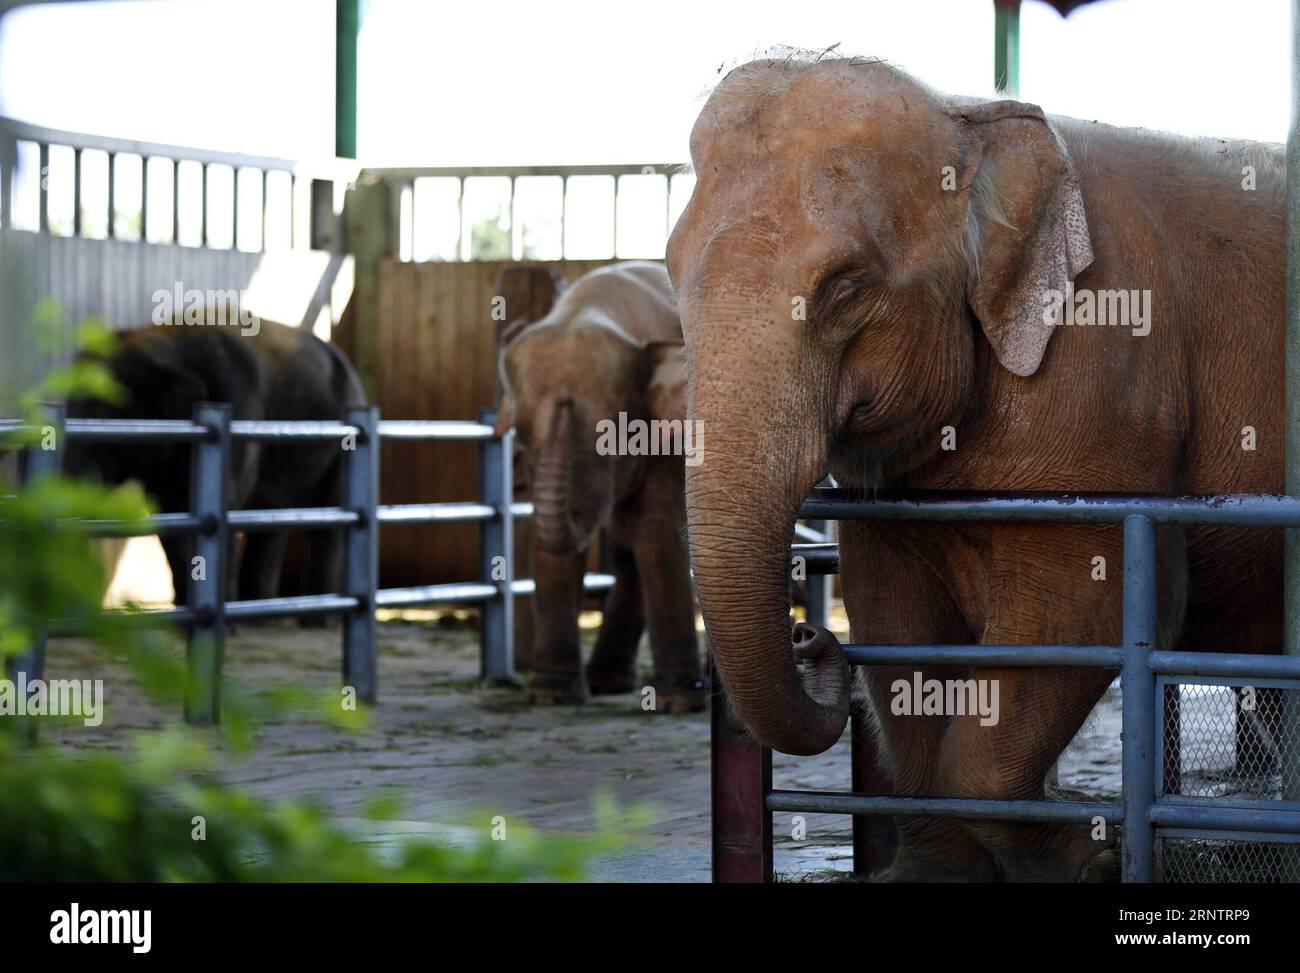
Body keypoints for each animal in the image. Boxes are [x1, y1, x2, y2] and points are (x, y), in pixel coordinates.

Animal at [66, 317, 367, 608]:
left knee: (326, 526)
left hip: (341, 451)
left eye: (105, 410)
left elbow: (226, 505)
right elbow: (171, 517)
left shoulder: (239, 411)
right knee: (271, 526)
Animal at [497, 261, 707, 711]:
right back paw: (608, 682)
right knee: (627, 555)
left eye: (611, 436)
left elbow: (659, 533)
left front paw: (677, 702)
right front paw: (549, 695)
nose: (563, 402)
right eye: (520, 435)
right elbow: (553, 549)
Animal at [665, 56, 1282, 881]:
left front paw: (1091, 855)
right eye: (671, 276)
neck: (974, 120)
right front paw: (933, 870)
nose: (809, 635)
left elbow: (1090, 602)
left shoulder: (1106, 373)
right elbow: (893, 621)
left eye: (846, 289)